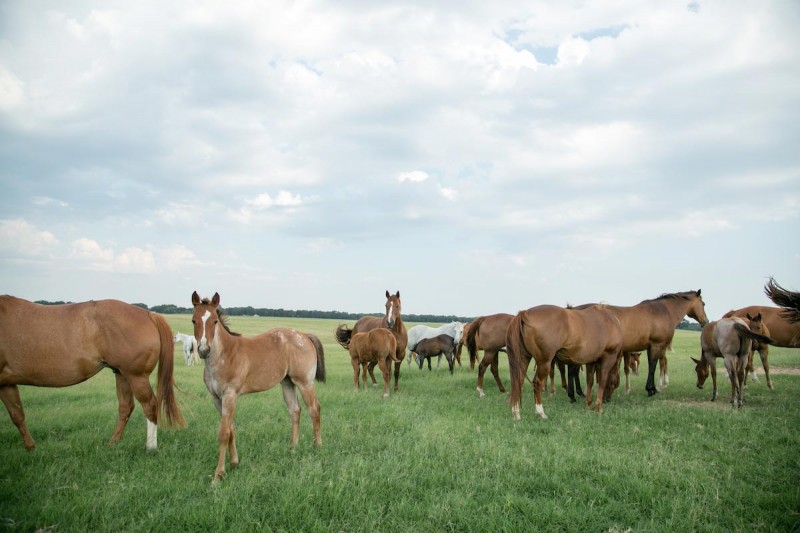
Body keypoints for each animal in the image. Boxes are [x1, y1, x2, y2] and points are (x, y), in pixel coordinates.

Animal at [0, 295, 184, 451]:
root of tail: (148, 314)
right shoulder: (7, 384)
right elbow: (17, 415)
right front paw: (31, 448)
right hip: (122, 375)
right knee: (126, 407)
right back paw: (112, 443)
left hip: (136, 376)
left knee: (150, 406)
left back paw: (150, 448)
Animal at [191, 292, 325, 484]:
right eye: (193, 320)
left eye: (215, 321)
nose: (203, 349)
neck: (224, 355)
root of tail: (304, 336)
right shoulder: (216, 398)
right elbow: (231, 428)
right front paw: (234, 463)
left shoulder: (230, 395)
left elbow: (223, 433)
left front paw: (218, 475)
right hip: (287, 383)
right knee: (295, 410)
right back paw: (292, 448)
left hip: (304, 383)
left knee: (314, 409)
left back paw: (317, 446)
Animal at [573, 290, 708, 396]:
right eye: (703, 303)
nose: (705, 321)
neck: (663, 311)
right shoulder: (657, 345)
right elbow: (653, 366)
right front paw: (651, 390)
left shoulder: (650, 347)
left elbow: (652, 365)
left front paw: (652, 388)